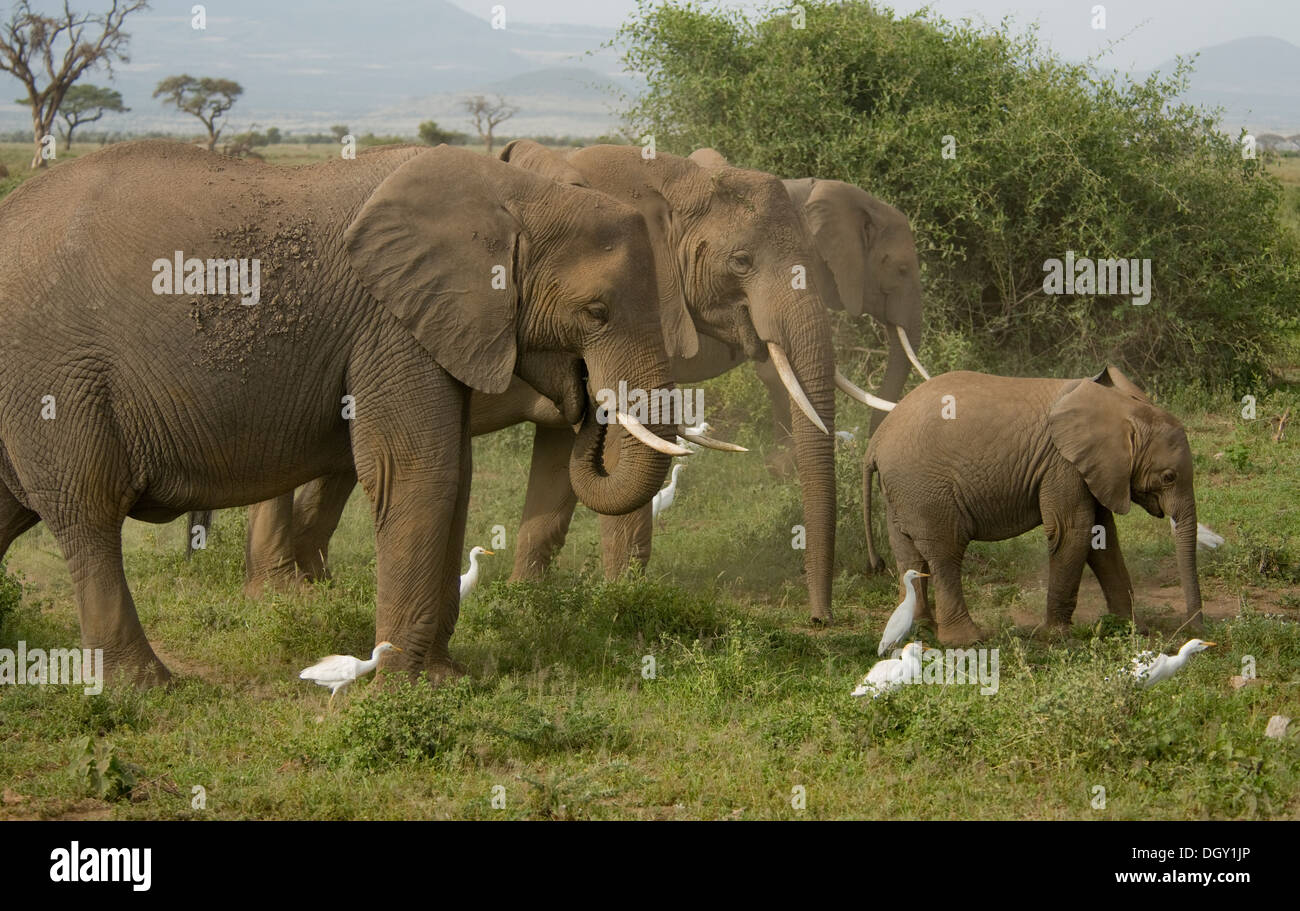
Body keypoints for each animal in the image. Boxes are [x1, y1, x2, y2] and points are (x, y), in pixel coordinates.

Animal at [0, 139, 684, 685]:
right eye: (596, 312)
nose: (588, 405)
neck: (519, 196)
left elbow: (455, 478)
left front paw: (446, 677)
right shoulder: (390, 326)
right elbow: (419, 472)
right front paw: (404, 686)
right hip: (54, 376)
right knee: (87, 510)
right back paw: (147, 688)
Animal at [221, 141, 861, 622]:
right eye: (742, 263)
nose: (819, 620)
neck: (671, 179)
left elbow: (560, 467)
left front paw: (527, 598)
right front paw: (627, 602)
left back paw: (316, 584)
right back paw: (279, 594)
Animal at [863, 367, 1204, 645]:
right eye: (1169, 477)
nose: (1192, 630)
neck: (1122, 408)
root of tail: (876, 441)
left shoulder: (1091, 470)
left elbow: (1102, 539)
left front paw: (1132, 628)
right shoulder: (1063, 465)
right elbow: (1071, 531)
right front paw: (1056, 635)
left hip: (901, 492)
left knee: (909, 554)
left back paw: (922, 630)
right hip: (925, 488)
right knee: (945, 551)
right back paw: (966, 640)